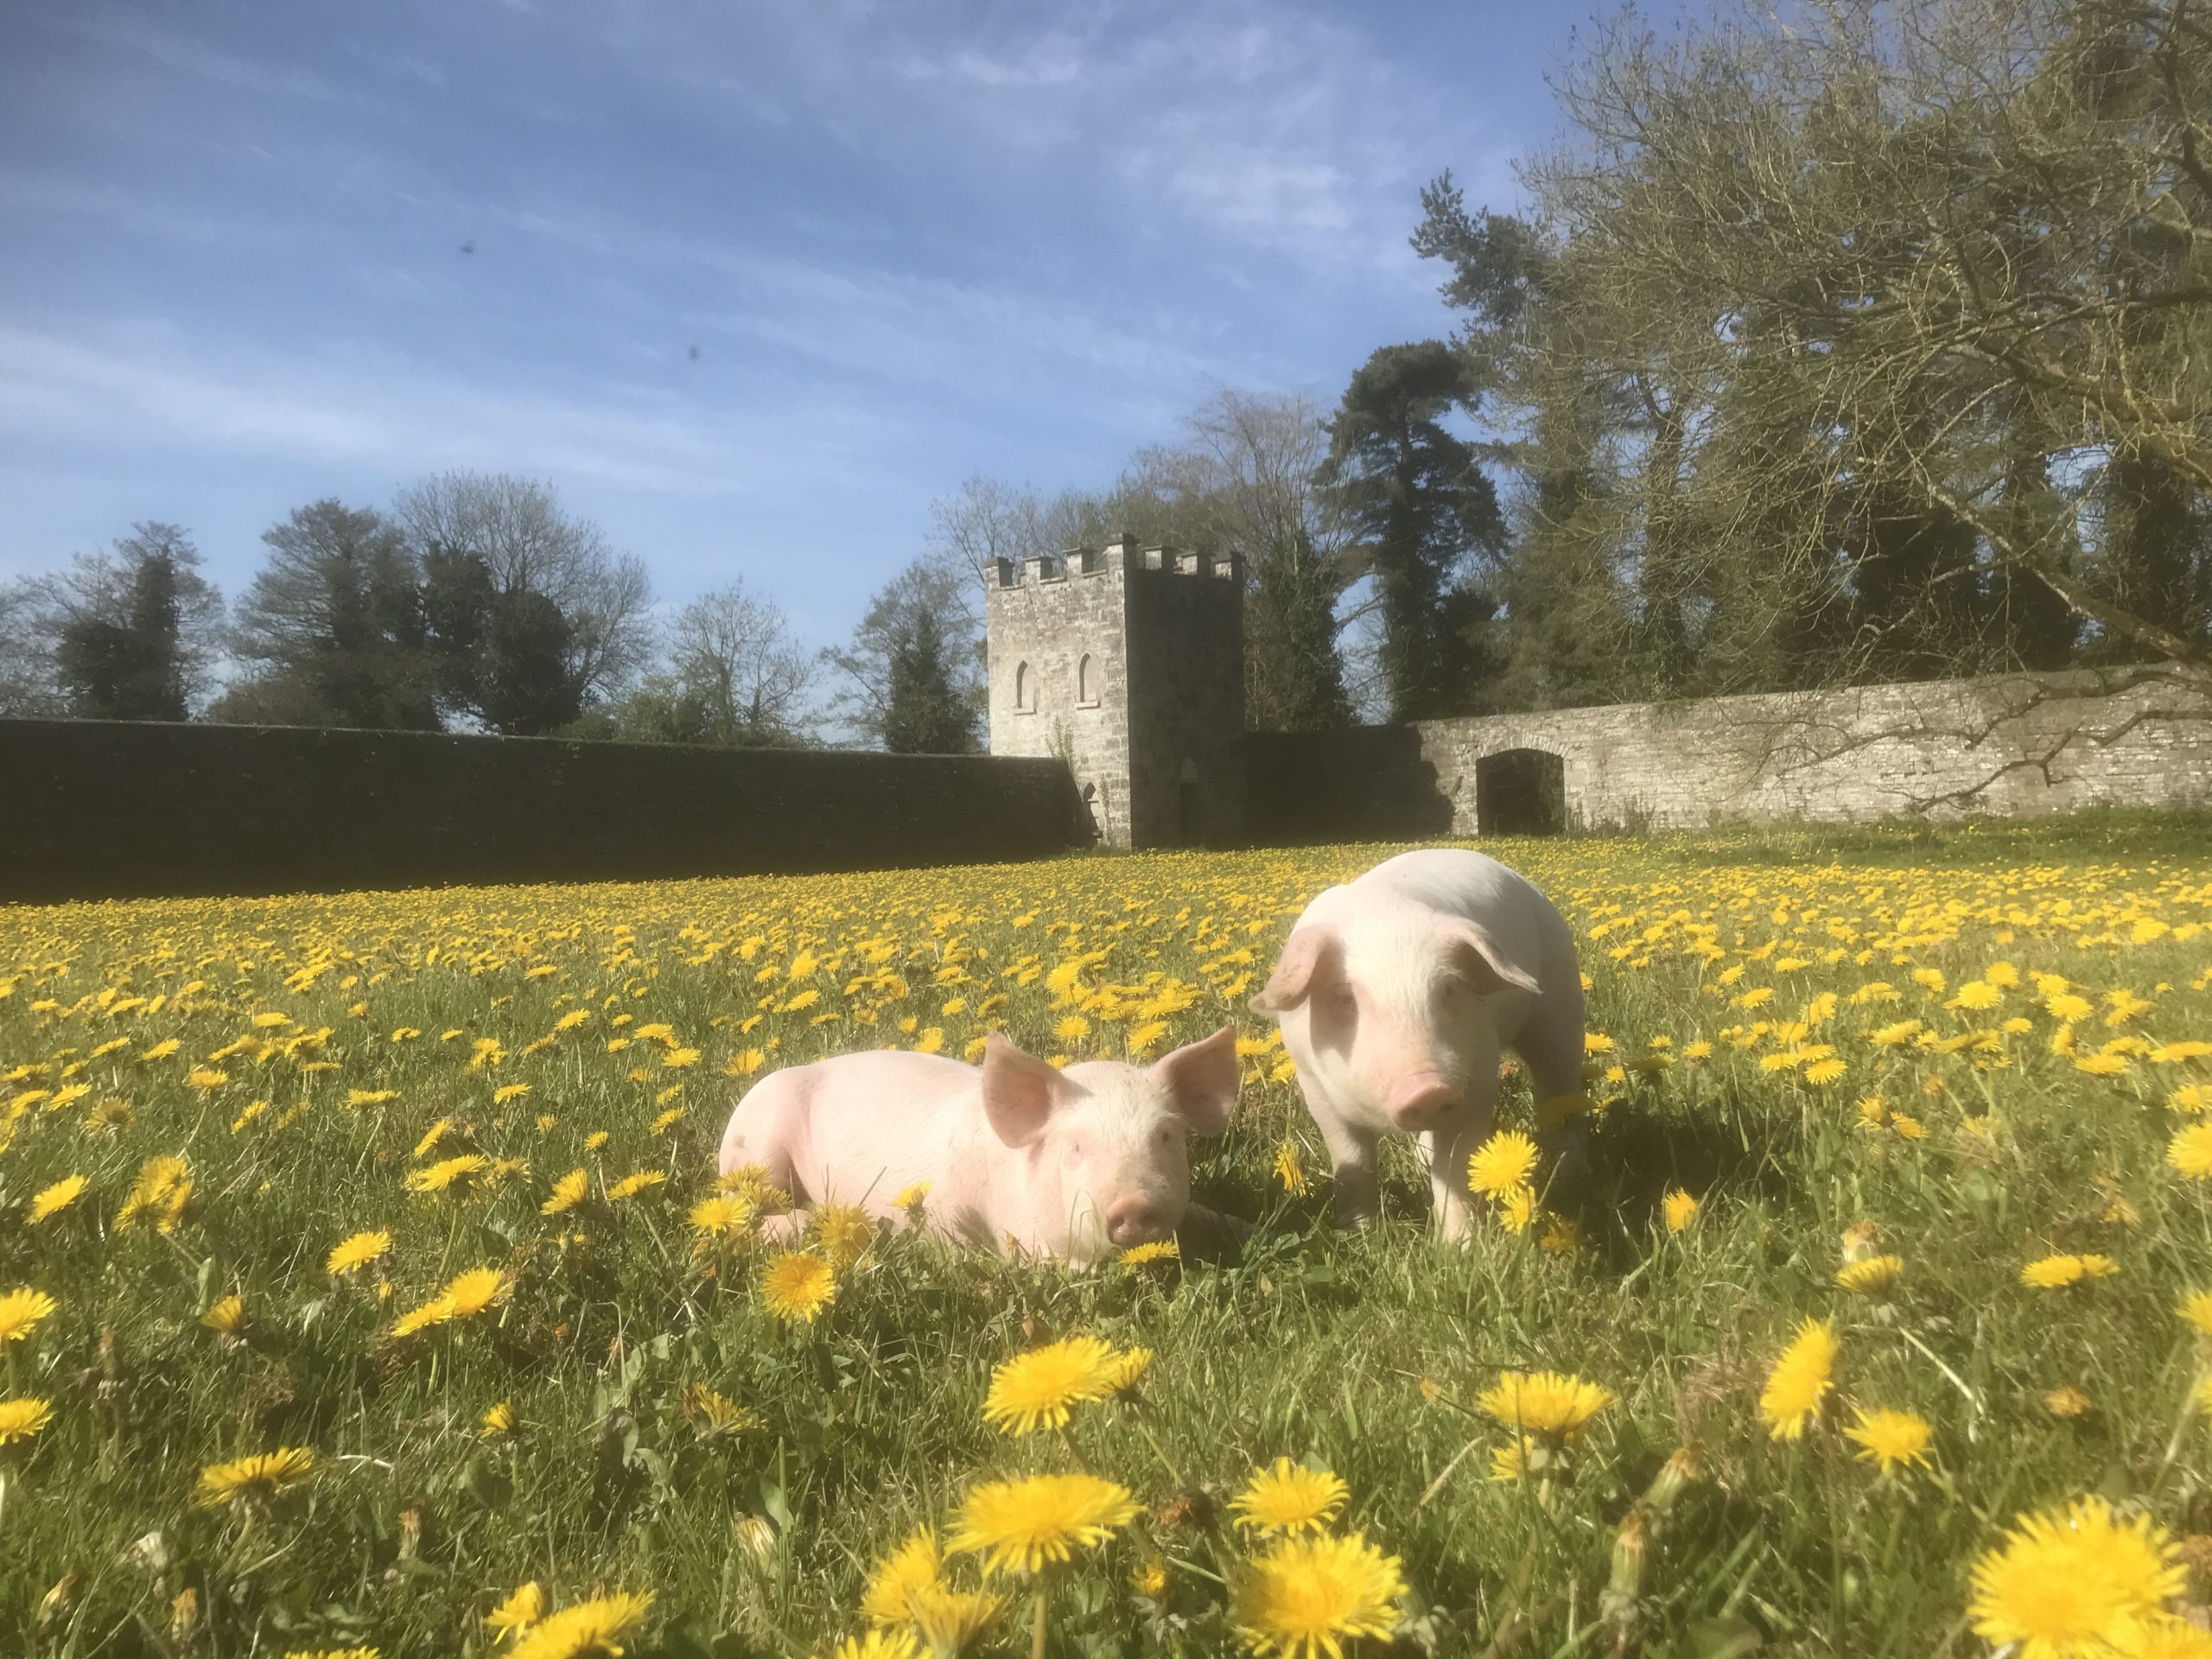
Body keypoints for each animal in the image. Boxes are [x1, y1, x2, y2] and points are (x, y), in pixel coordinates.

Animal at [1249, 848, 1587, 1240]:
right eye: (1346, 997)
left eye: (1449, 990)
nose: (1428, 1089)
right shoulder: (1313, 1084)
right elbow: (1353, 1159)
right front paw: (1361, 1236)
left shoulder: (1479, 1072)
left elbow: (1454, 1167)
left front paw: (1460, 1245)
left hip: (1562, 1005)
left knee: (1559, 1090)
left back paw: (1570, 1171)